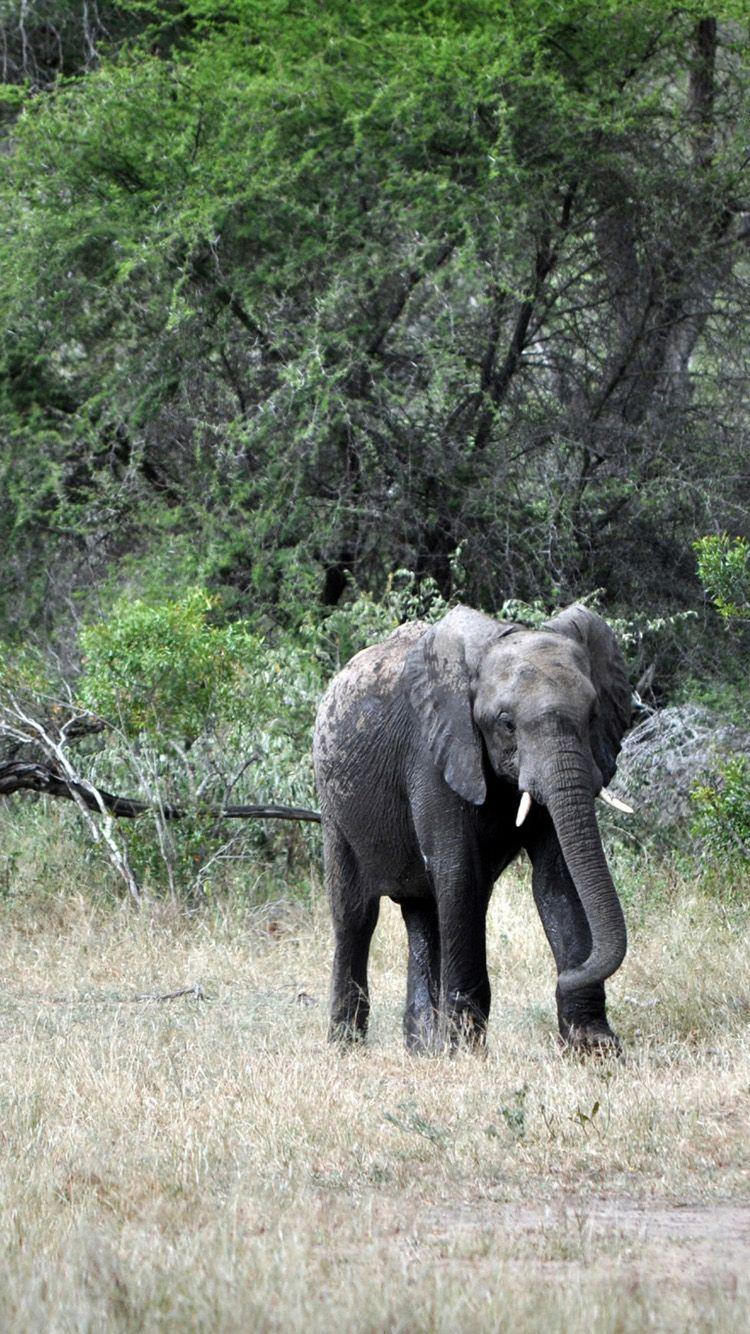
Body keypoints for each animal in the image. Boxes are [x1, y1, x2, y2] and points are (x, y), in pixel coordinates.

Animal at [312, 603, 632, 1053]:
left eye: (591, 716)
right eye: (506, 724)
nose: (564, 977)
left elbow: (558, 879)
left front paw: (594, 1047)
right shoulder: (432, 755)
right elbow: (460, 873)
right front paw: (464, 1051)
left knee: (425, 914)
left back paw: (422, 1049)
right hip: (334, 805)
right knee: (355, 914)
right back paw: (347, 1045)